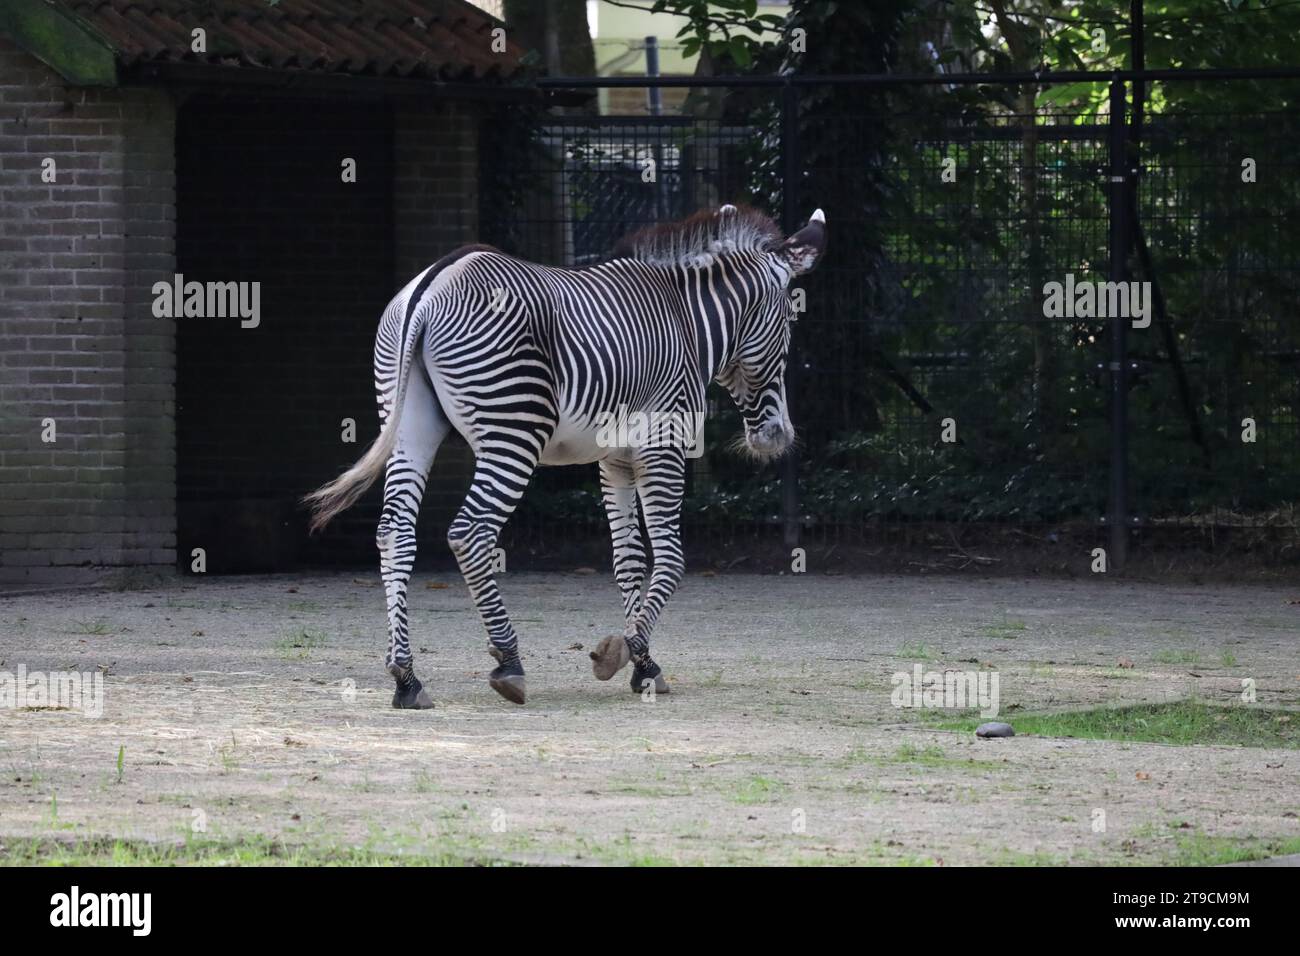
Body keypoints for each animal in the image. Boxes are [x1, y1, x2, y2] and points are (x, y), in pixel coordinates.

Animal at [304, 204, 827, 708]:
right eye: (788, 327)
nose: (777, 436)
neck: (686, 320)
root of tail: (431, 285)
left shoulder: (615, 460)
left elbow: (628, 559)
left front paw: (644, 665)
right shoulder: (664, 442)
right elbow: (671, 557)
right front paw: (625, 651)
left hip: (410, 424)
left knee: (394, 532)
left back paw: (407, 677)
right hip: (513, 431)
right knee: (470, 532)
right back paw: (508, 662)